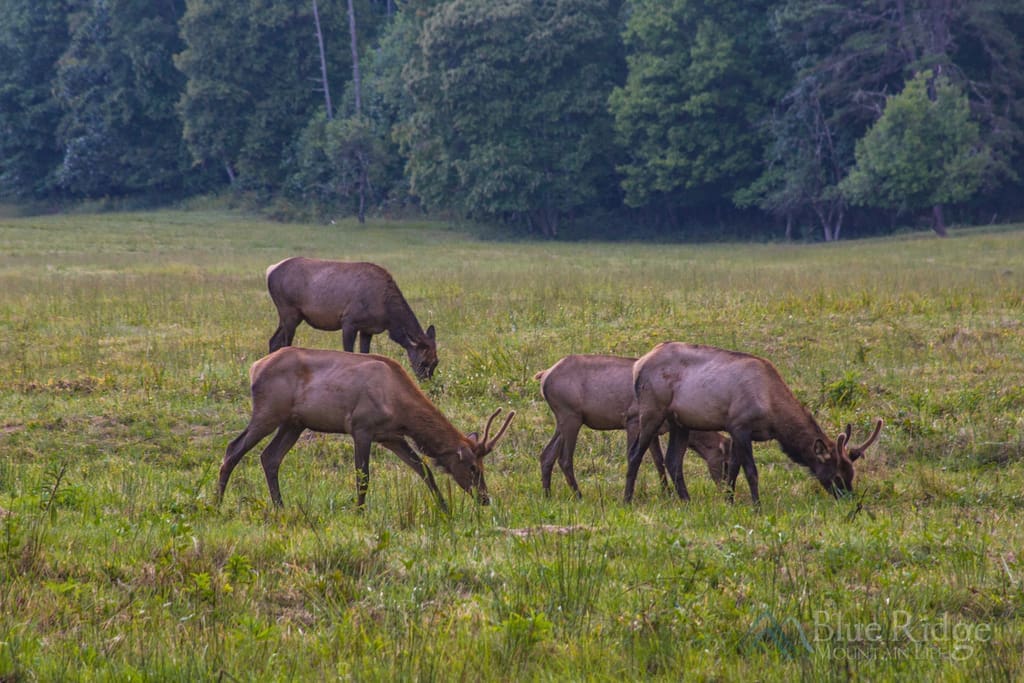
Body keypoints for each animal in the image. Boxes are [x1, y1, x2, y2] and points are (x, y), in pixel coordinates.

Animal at [217, 347, 515, 513]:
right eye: (474, 468)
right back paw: (217, 503)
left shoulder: (391, 436)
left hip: (294, 423)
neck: (401, 409)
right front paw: (359, 512)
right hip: (268, 412)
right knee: (233, 448)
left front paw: (443, 507)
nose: (485, 499)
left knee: (270, 457)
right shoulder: (361, 427)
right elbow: (364, 477)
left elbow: (424, 470)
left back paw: (280, 506)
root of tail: (254, 367)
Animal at [266, 257, 438, 380]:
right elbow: (349, 351)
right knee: (285, 343)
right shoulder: (349, 321)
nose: (428, 385)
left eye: (436, 362)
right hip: (289, 311)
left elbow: (365, 354)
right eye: (424, 362)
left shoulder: (368, 329)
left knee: (274, 341)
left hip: (289, 316)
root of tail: (270, 270)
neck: (388, 316)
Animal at [534, 354, 731, 498]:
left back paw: (547, 495)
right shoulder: (633, 420)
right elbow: (634, 457)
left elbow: (658, 461)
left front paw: (667, 493)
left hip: (565, 419)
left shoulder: (654, 431)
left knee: (546, 454)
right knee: (564, 458)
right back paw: (578, 495)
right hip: (570, 416)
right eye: (725, 460)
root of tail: (544, 375)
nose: (726, 490)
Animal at [626, 342, 883, 505]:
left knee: (673, 460)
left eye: (851, 475)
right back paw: (627, 499)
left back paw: (687, 501)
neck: (774, 413)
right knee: (635, 454)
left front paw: (729, 502)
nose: (849, 500)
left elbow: (733, 470)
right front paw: (756, 506)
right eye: (837, 476)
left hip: (680, 422)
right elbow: (750, 471)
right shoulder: (740, 426)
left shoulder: (736, 431)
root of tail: (638, 366)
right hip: (652, 411)